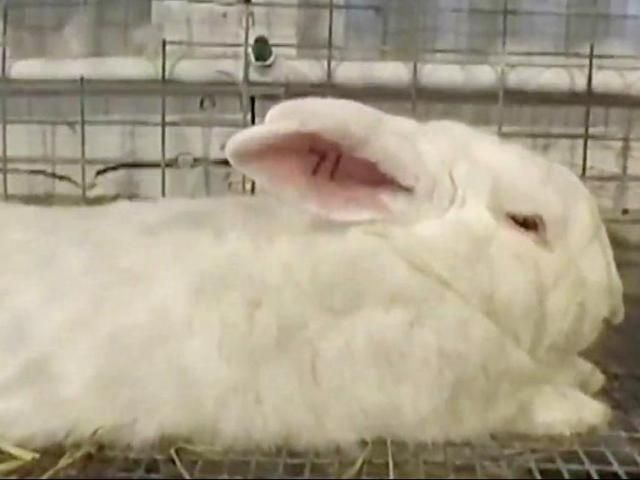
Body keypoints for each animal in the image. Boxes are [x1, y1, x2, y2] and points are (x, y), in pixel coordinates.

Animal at [0, 97, 624, 453]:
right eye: (526, 222)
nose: (615, 303)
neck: (417, 264)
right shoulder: (457, 390)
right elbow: (527, 398)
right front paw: (587, 410)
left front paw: (588, 374)